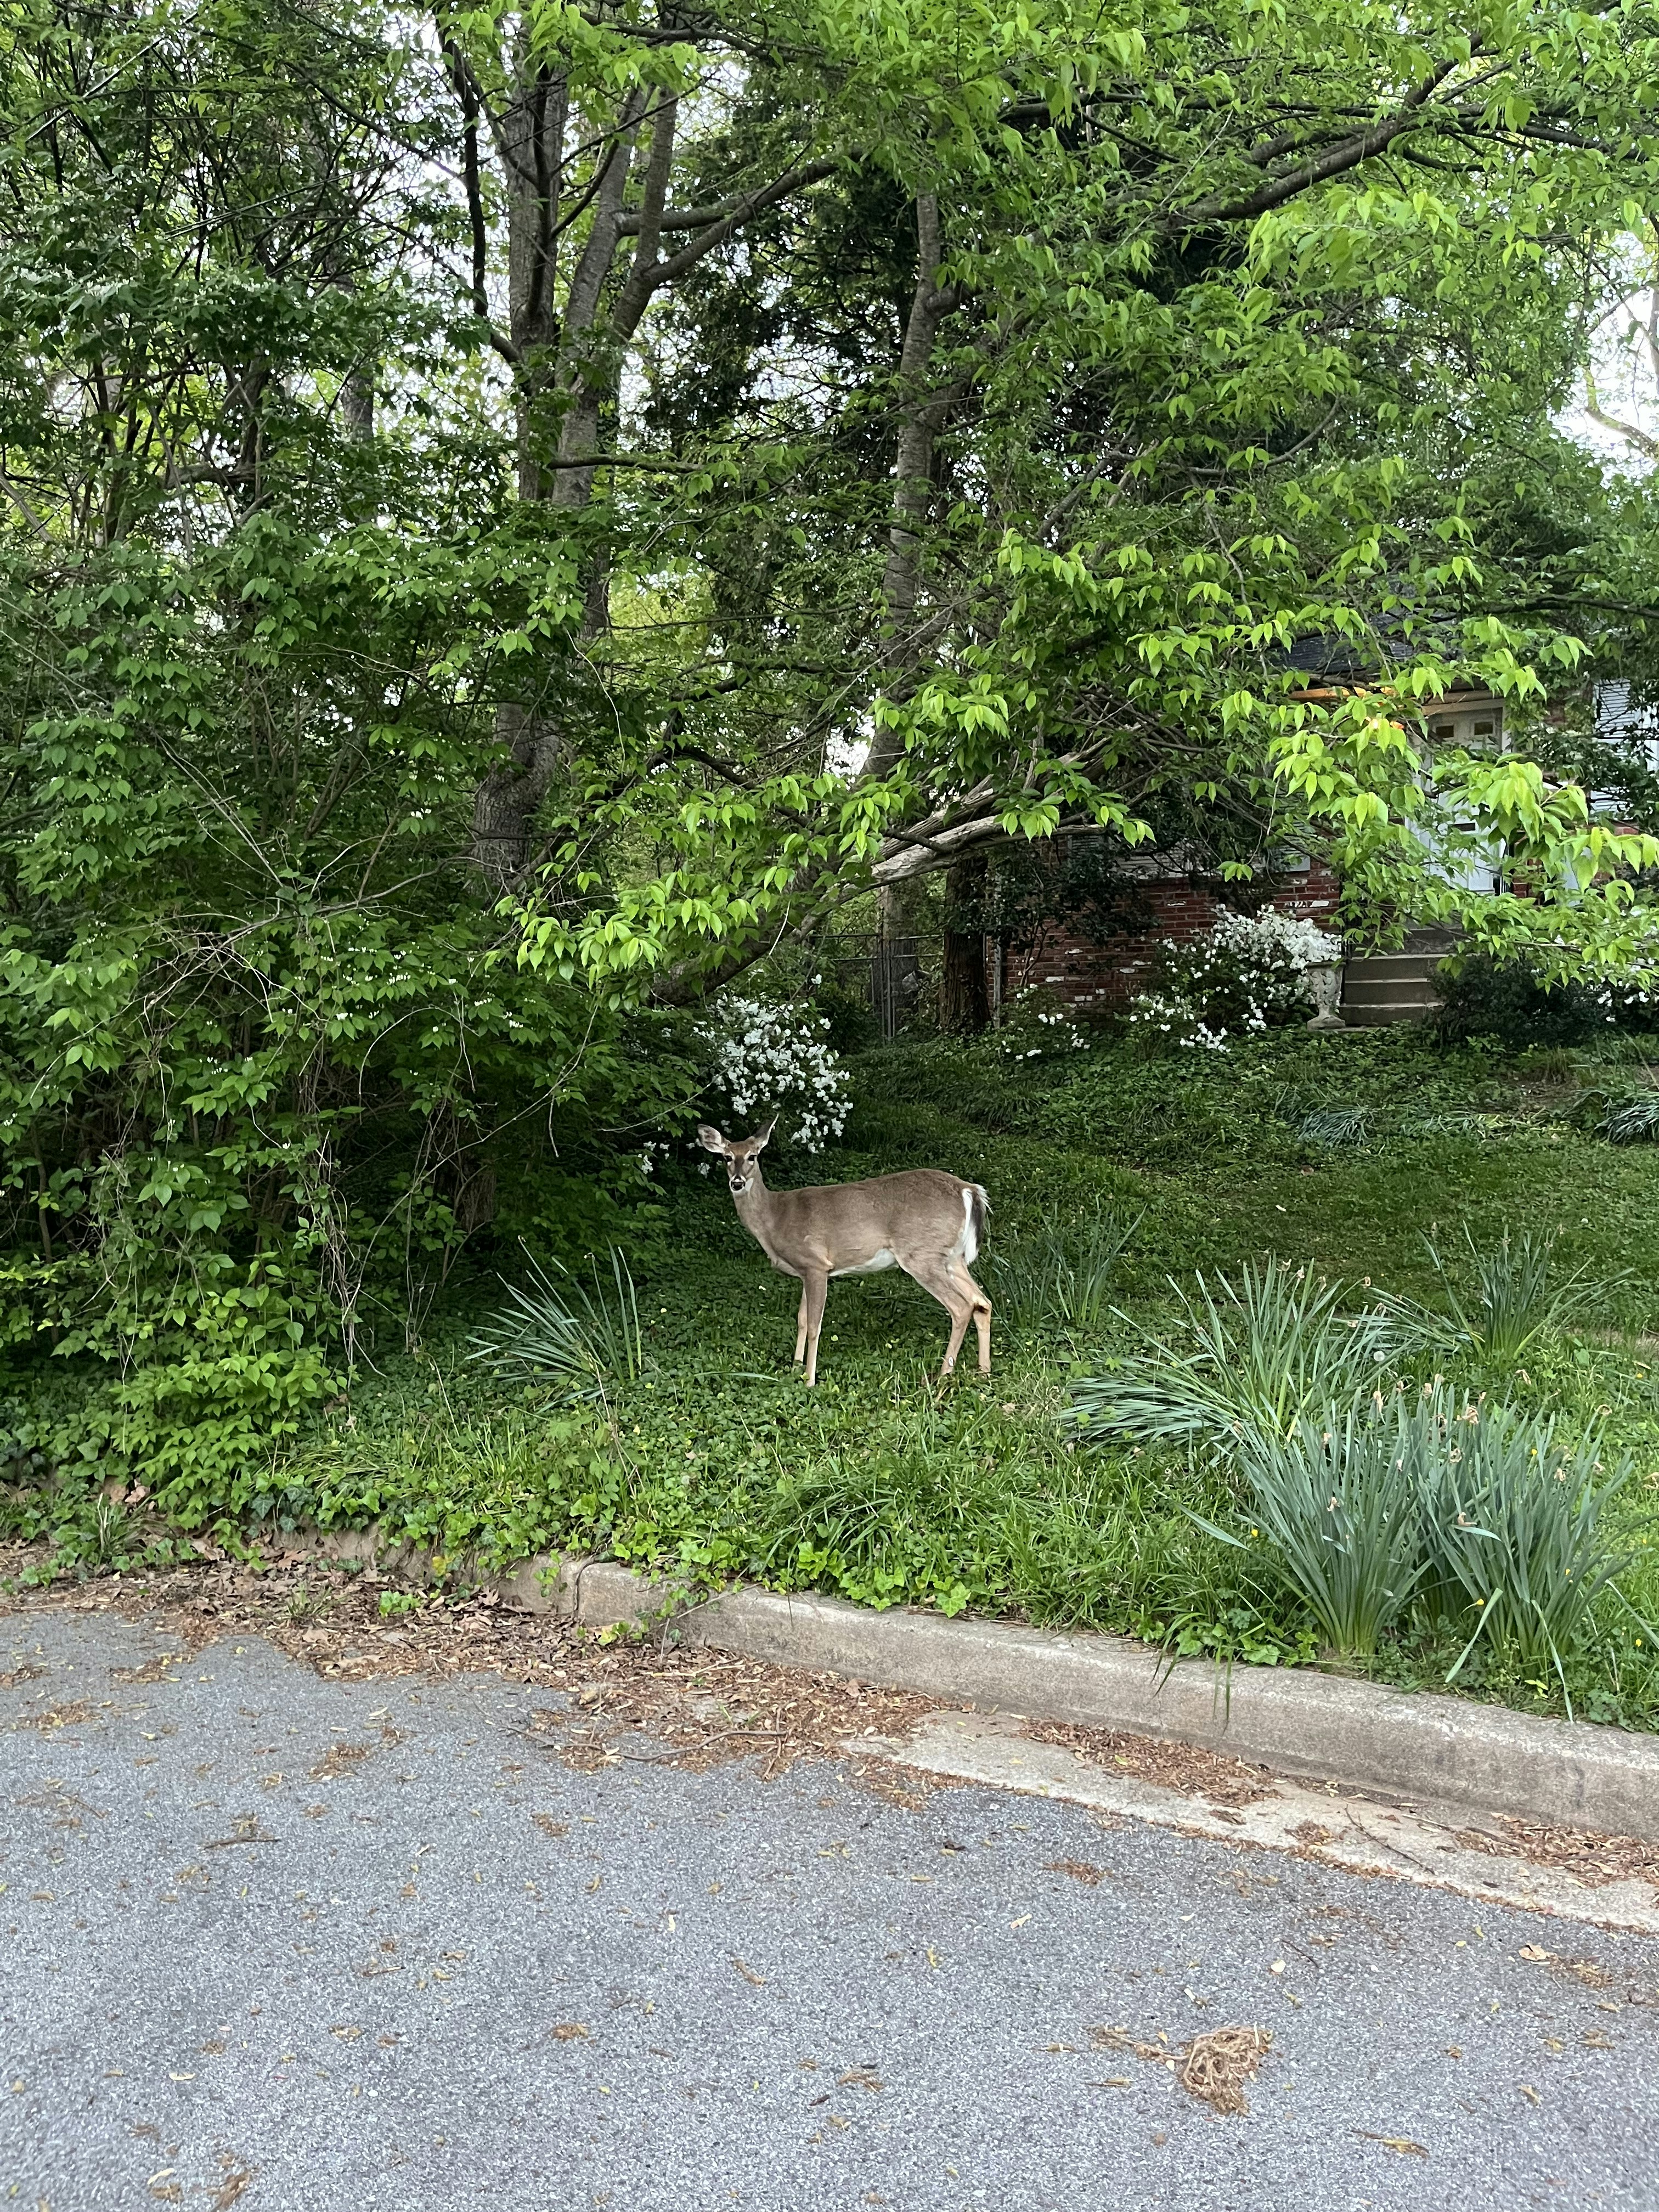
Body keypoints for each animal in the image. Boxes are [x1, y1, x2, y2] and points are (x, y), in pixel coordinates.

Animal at [696, 1118, 991, 1386]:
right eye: (726, 1157)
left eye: (752, 1156)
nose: (737, 1183)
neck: (775, 1218)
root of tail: (969, 1190)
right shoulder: (805, 1271)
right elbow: (801, 1320)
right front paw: (795, 1367)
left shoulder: (816, 1264)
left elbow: (814, 1325)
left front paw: (809, 1379)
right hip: (952, 1257)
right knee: (982, 1302)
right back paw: (983, 1372)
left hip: (921, 1253)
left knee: (961, 1306)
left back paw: (943, 1377)